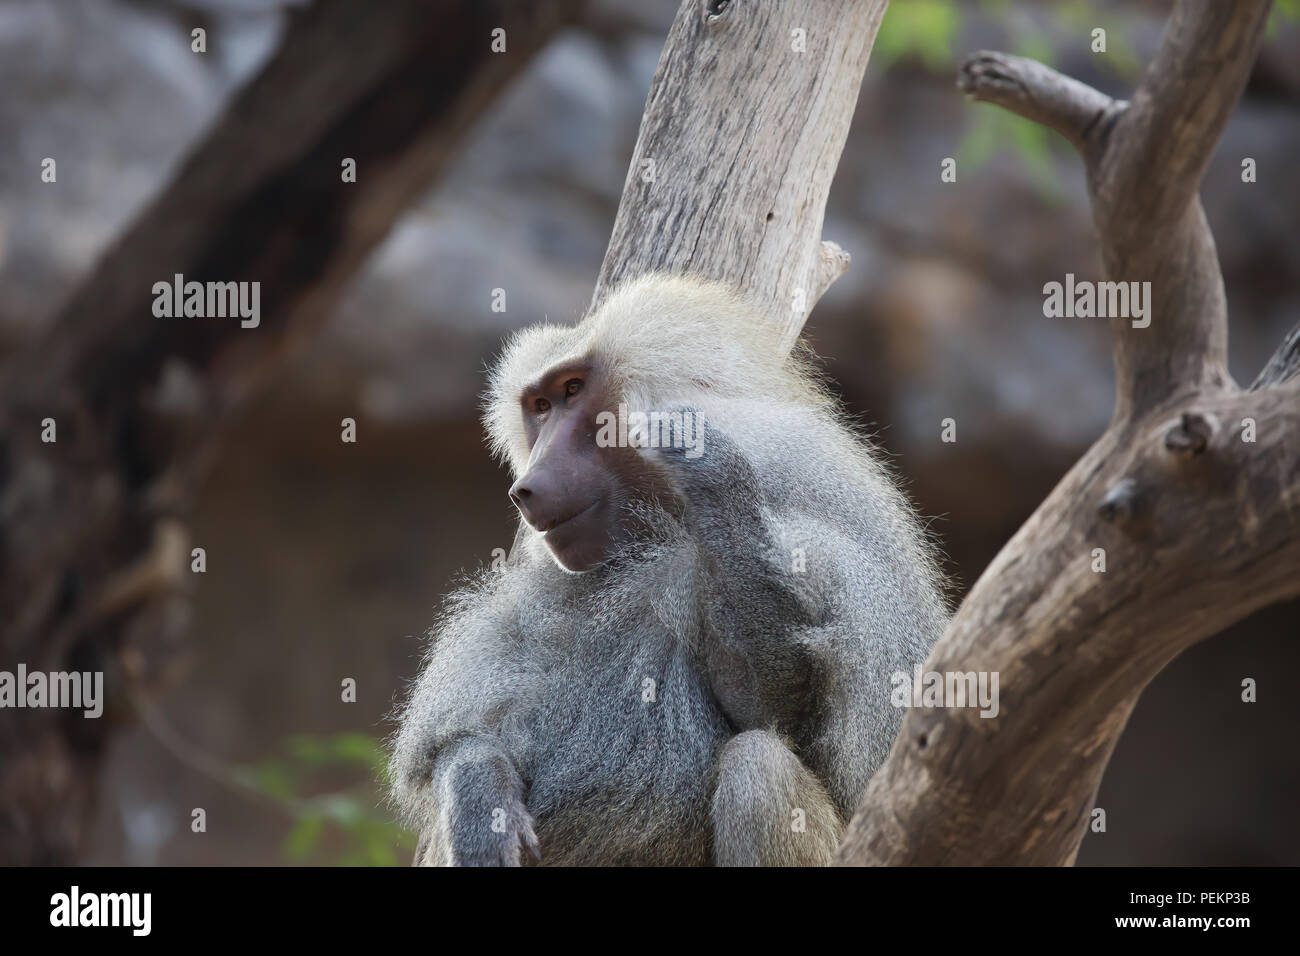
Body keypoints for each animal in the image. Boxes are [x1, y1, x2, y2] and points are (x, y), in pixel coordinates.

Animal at [388, 274, 949, 866]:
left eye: (573, 390)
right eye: (538, 405)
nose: (526, 489)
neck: (661, 528)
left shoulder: (816, 544)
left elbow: (780, 710)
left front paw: (703, 459)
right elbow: (466, 739)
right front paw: (478, 797)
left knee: (759, 768)